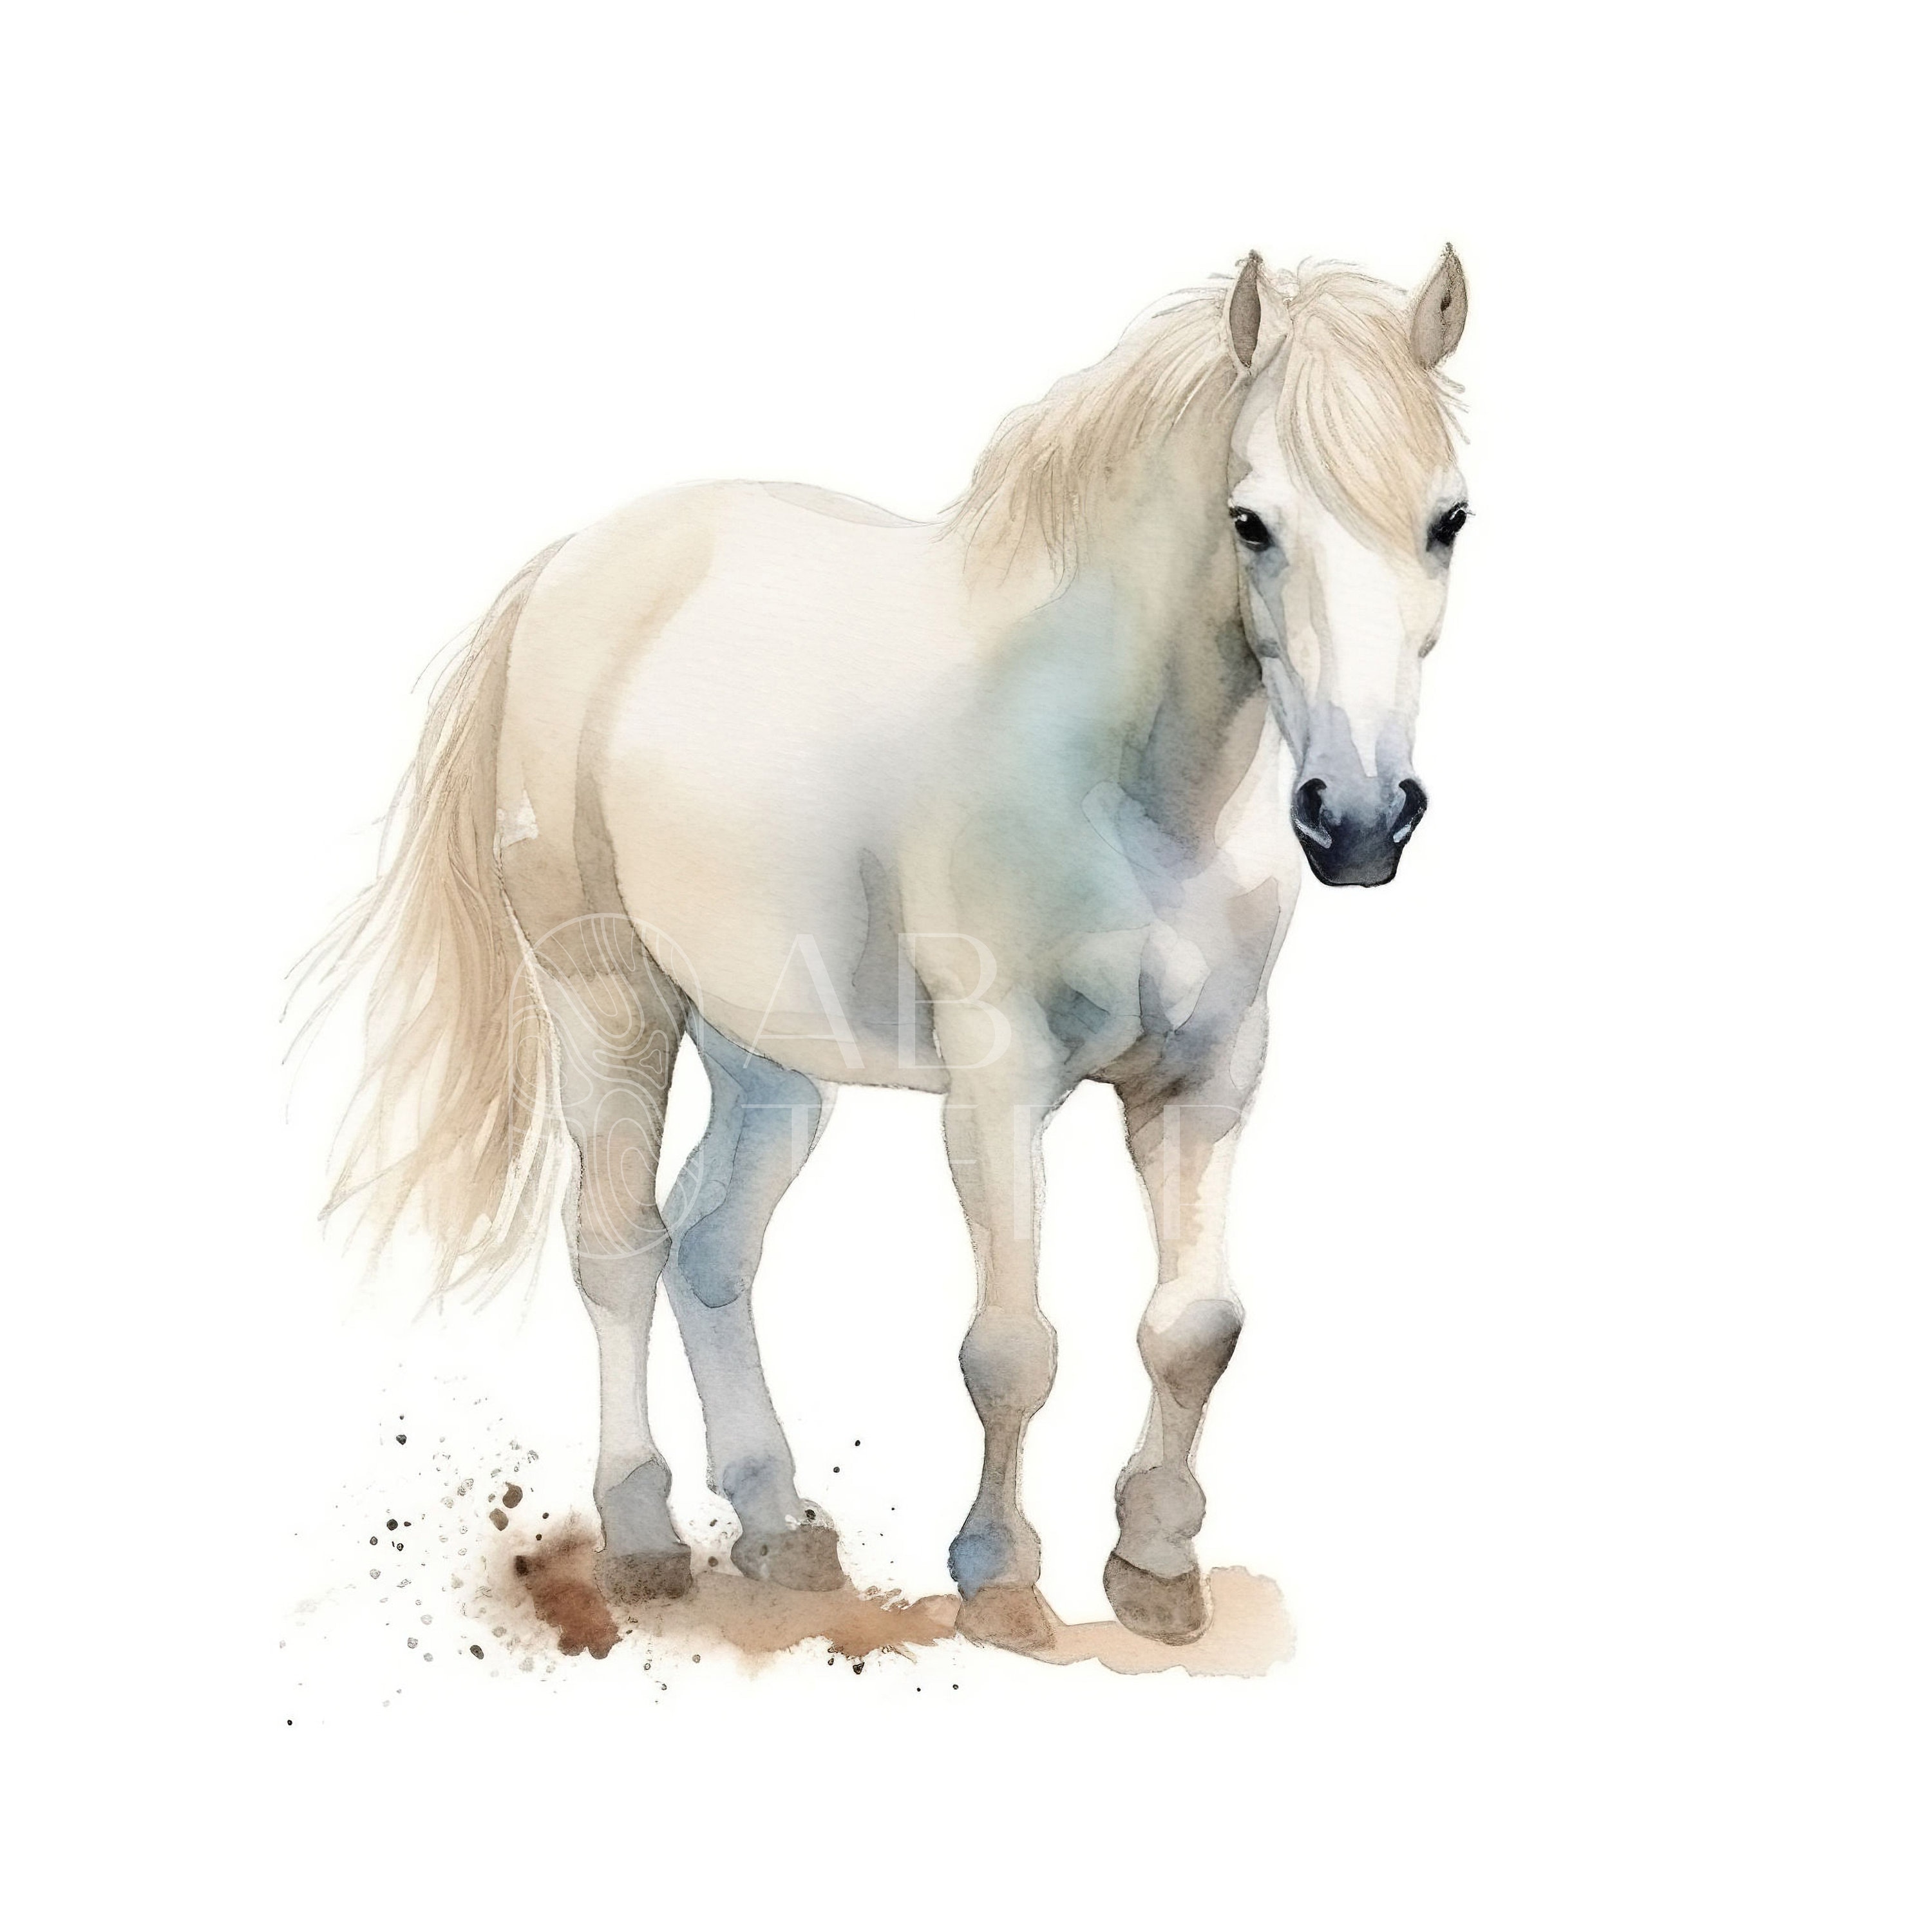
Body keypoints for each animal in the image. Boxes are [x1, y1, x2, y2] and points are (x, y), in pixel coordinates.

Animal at [313, 247, 1471, 1651]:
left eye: (1449, 518)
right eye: (1250, 521)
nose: (1357, 820)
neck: (1132, 782)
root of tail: (576, 567)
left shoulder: (1208, 1080)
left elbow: (1196, 1328)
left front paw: (1155, 1571)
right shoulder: (998, 1083)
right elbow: (1012, 1344)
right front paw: (1002, 1580)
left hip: (765, 1055)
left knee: (712, 1250)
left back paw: (777, 1525)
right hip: (610, 1005)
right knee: (618, 1250)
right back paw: (645, 1538)